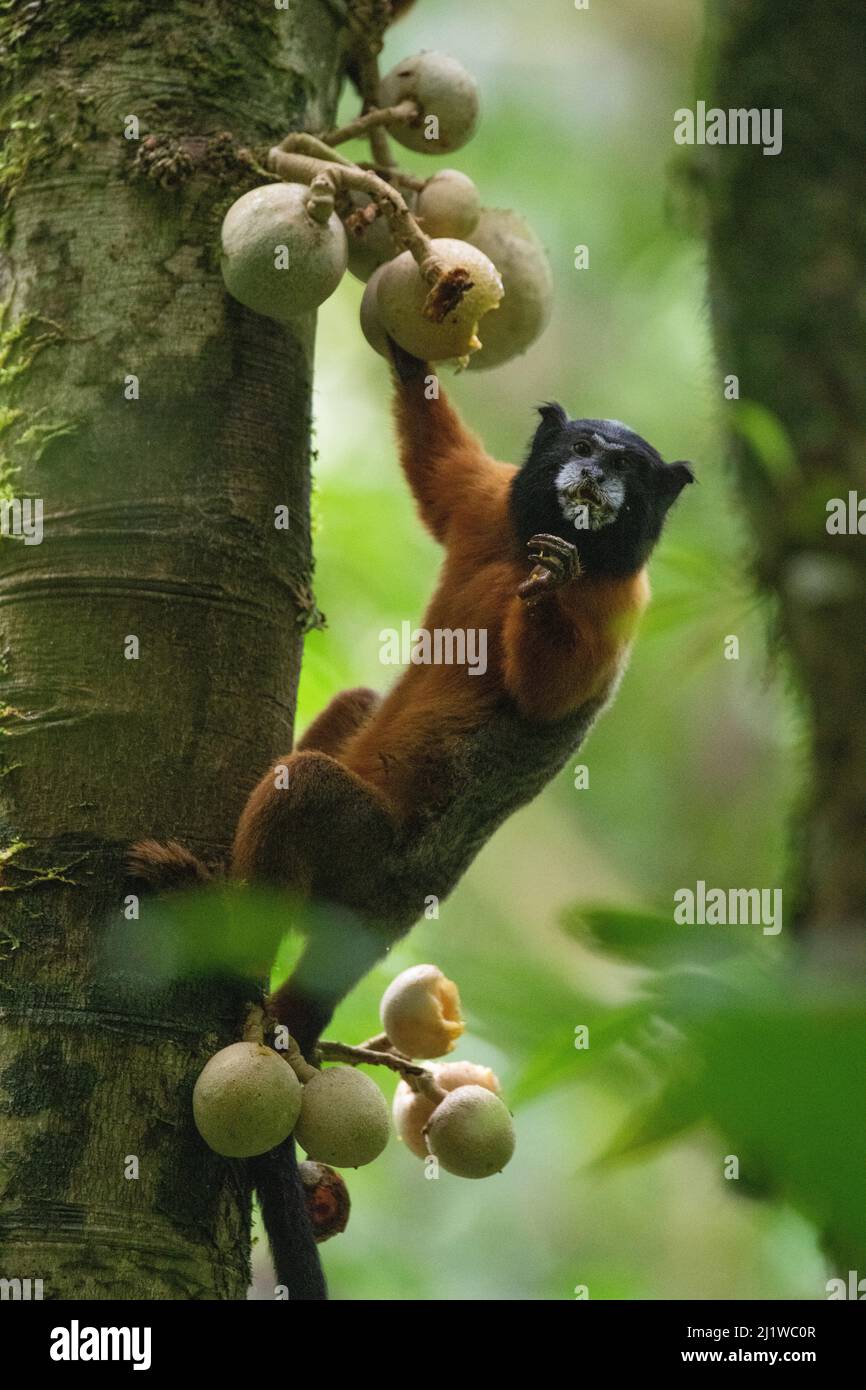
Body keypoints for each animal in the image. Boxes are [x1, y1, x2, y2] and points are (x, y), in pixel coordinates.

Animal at [130, 343, 693, 1296]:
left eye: (626, 468)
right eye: (583, 446)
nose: (592, 478)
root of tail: (402, 900)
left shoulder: (618, 611)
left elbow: (547, 695)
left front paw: (549, 588)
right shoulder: (492, 508)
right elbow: (440, 477)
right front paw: (405, 342)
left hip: (371, 851)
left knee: (307, 789)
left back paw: (218, 920)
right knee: (352, 711)